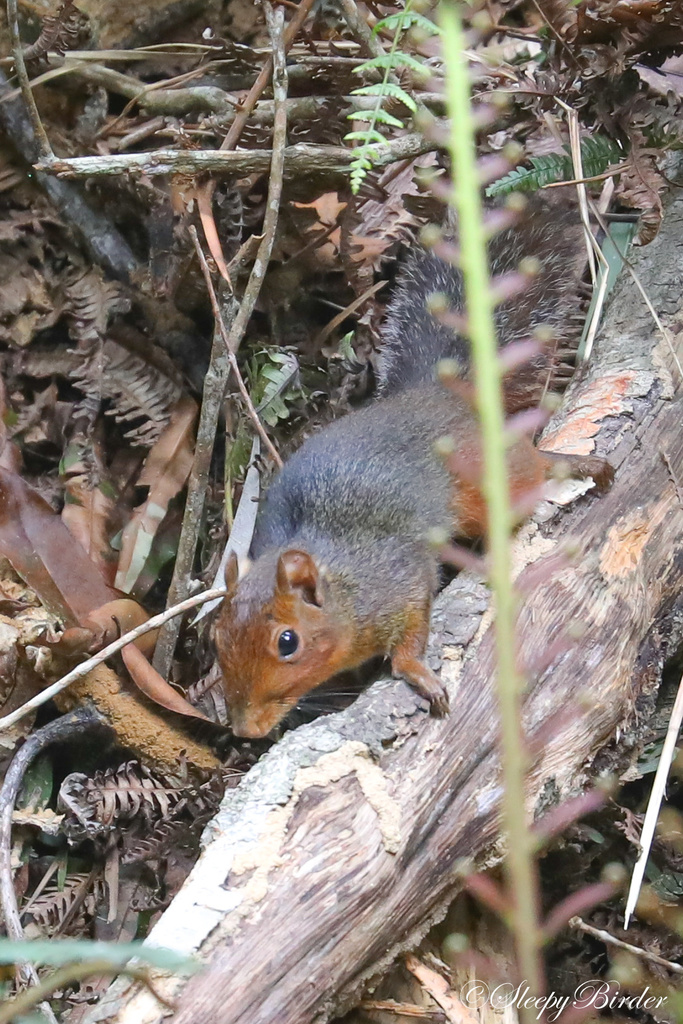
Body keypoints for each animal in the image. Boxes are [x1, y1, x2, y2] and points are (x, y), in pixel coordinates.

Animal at [215, 205, 614, 739]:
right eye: (217, 636)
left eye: (287, 642)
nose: (244, 730)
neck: (345, 583)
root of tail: (437, 394)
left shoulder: (400, 578)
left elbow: (413, 627)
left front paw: (415, 671)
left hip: (488, 476)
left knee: (526, 471)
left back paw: (566, 463)